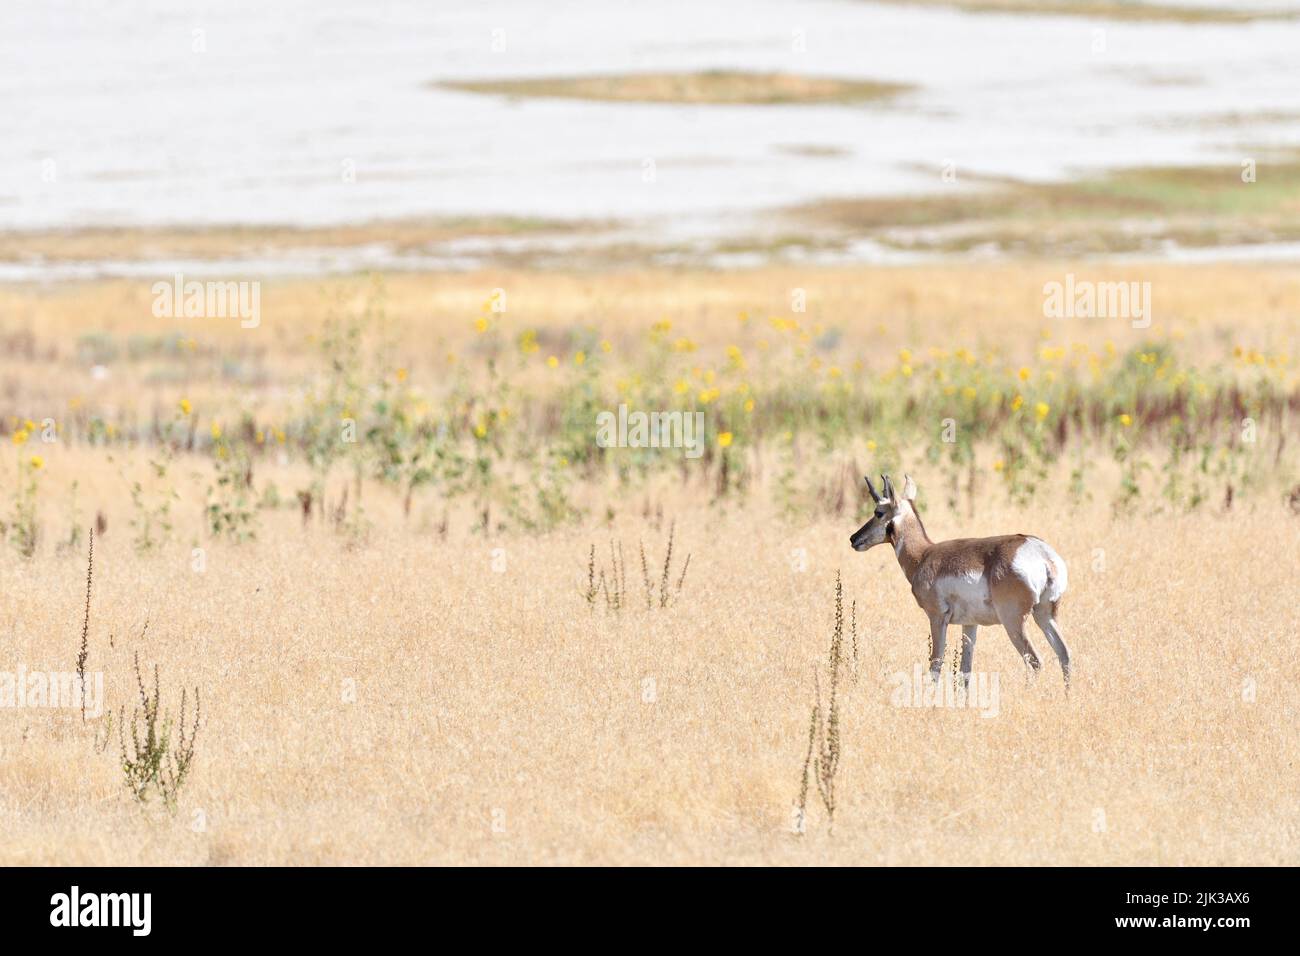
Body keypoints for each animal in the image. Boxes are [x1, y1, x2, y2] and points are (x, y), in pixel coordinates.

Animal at [849, 474, 1071, 686]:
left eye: (878, 512)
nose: (853, 538)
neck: (924, 554)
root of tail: (1041, 554)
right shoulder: (970, 624)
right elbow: (965, 671)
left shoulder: (937, 618)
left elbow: (935, 665)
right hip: (1045, 615)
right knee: (1064, 654)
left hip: (1013, 621)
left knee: (1035, 661)